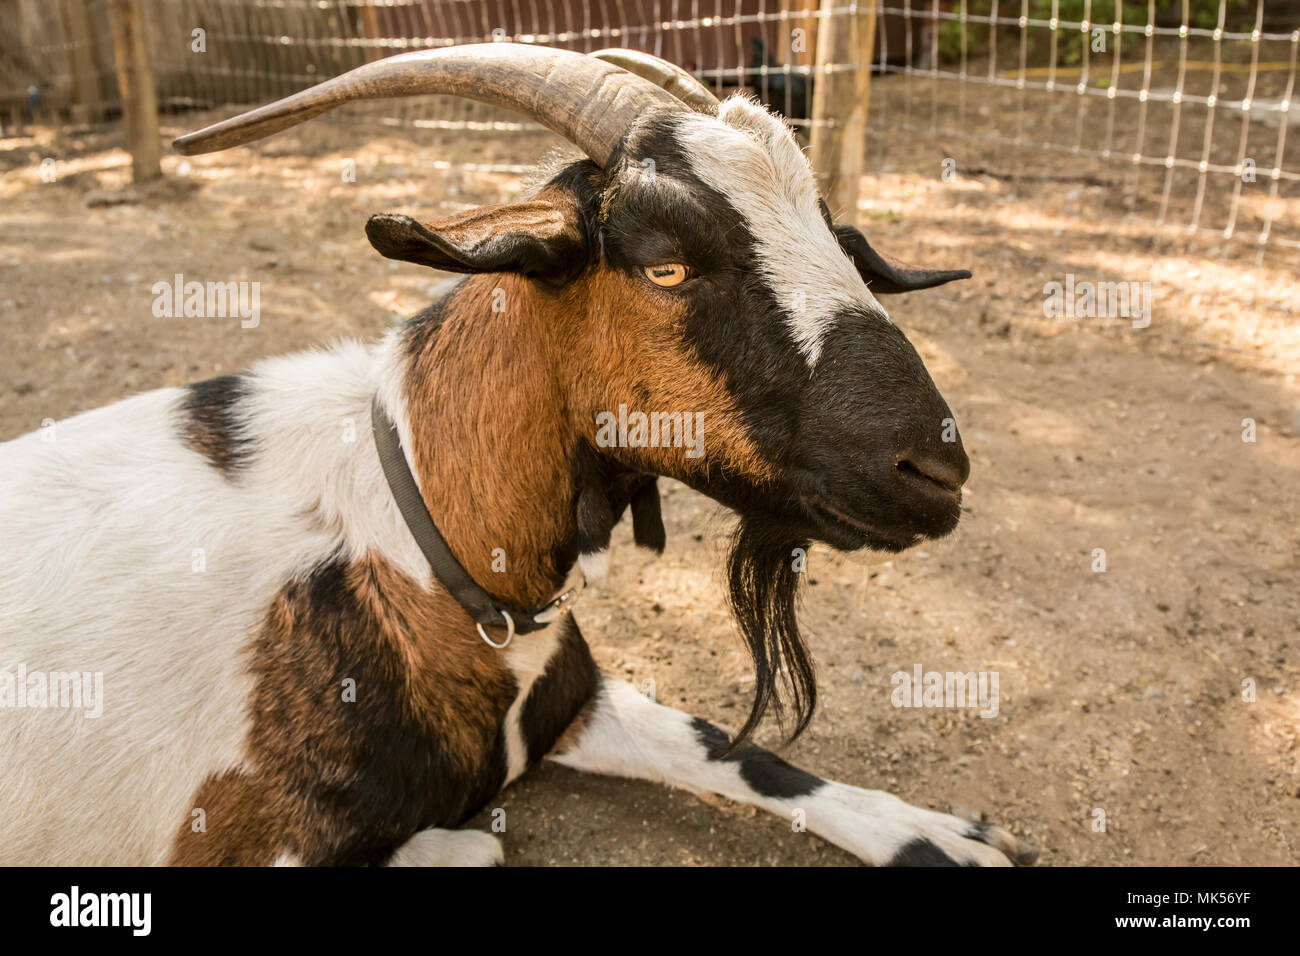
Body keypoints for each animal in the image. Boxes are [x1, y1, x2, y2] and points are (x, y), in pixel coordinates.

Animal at [0, 44, 1036, 867]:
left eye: (839, 240)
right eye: (665, 264)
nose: (935, 471)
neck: (426, 543)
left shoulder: (569, 696)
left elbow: (737, 751)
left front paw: (945, 834)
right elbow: (465, 846)